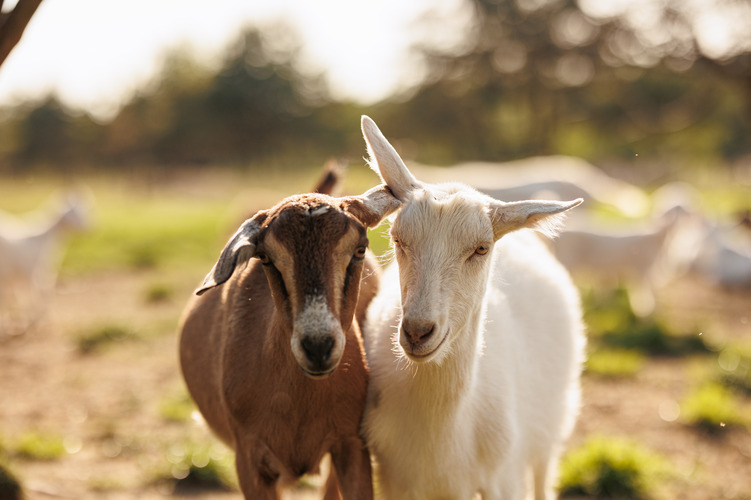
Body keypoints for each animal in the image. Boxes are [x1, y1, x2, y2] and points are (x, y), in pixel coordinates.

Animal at [0, 193, 88, 334]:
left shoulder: (43, 273)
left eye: (86, 209)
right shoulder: (32, 274)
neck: (44, 238)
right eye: (74, 212)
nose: (89, 227)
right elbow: (38, 295)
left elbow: (44, 293)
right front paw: (35, 321)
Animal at [359, 116, 585, 500]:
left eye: (481, 248)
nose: (418, 331)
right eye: (397, 239)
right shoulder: (393, 479)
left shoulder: (502, 478)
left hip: (551, 425)